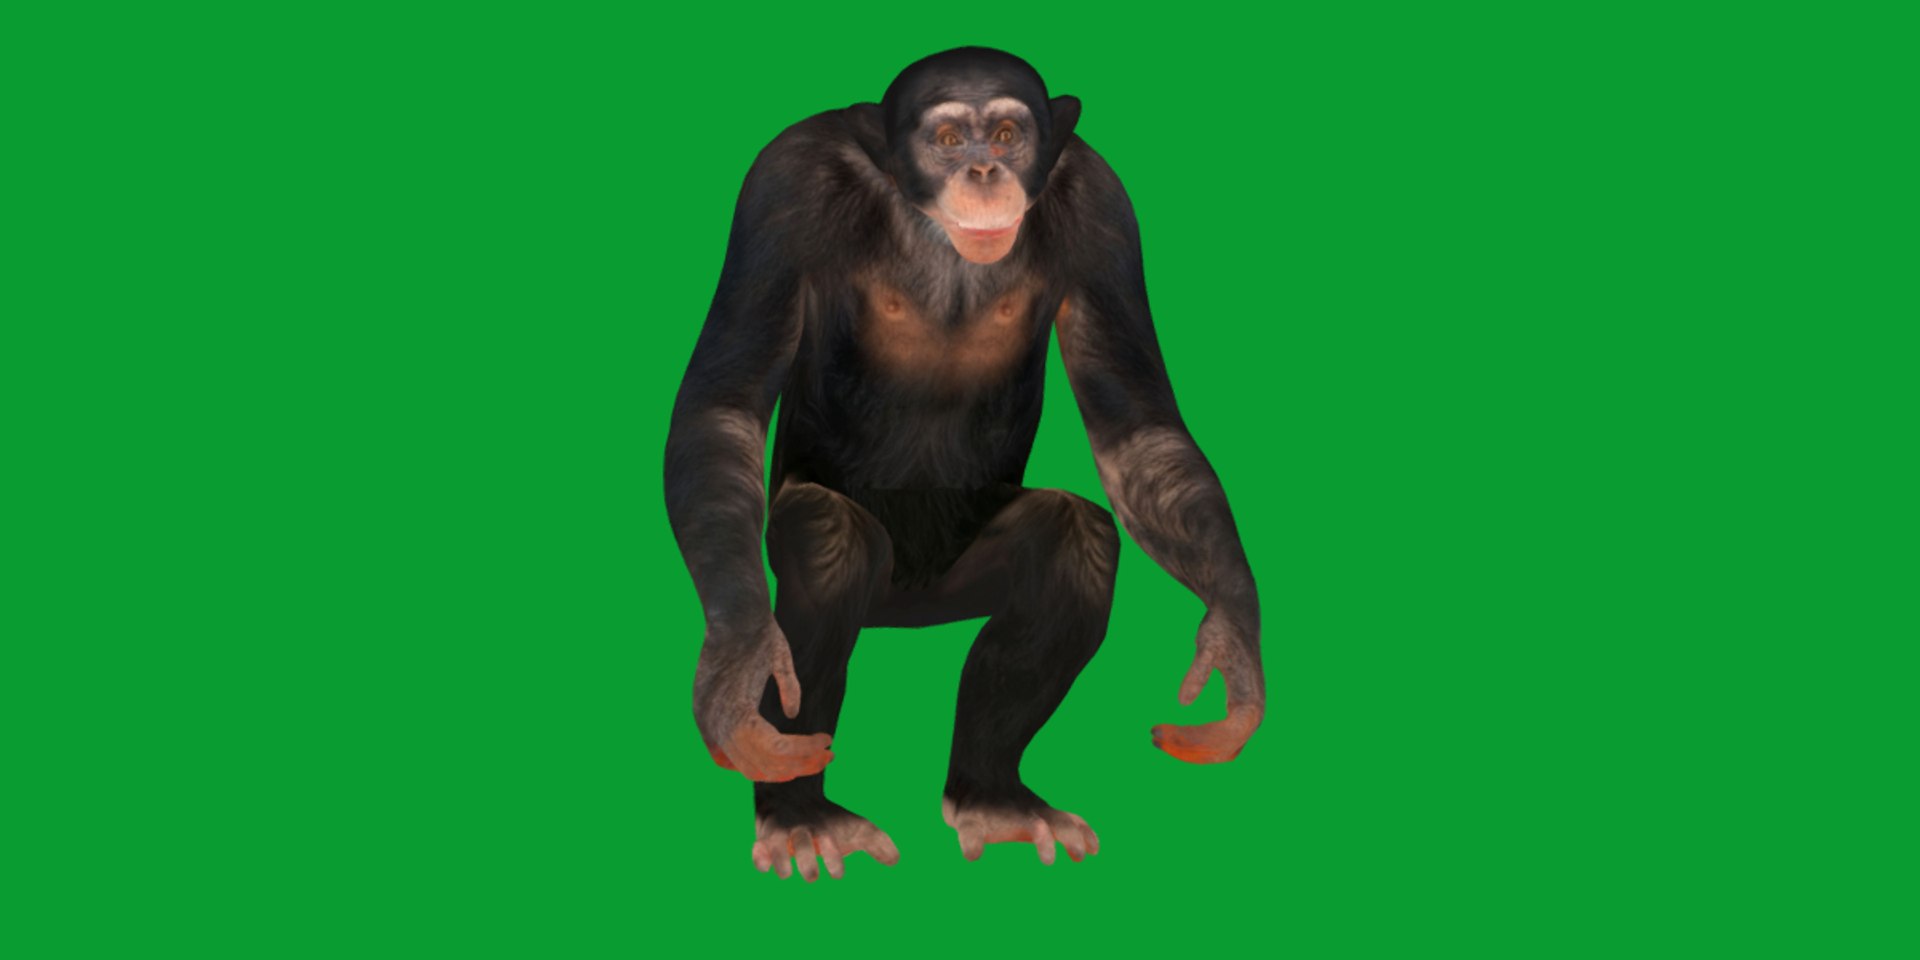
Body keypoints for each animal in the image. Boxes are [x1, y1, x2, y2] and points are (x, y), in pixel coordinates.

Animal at [664, 47, 1264, 881]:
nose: (984, 169)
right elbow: (726, 405)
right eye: (948, 140)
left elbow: (1138, 431)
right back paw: (802, 815)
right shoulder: (783, 187)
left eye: (1008, 132)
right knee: (829, 543)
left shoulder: (1104, 207)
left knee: (1075, 539)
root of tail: (907, 610)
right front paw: (739, 659)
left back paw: (993, 796)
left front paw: (1234, 641)